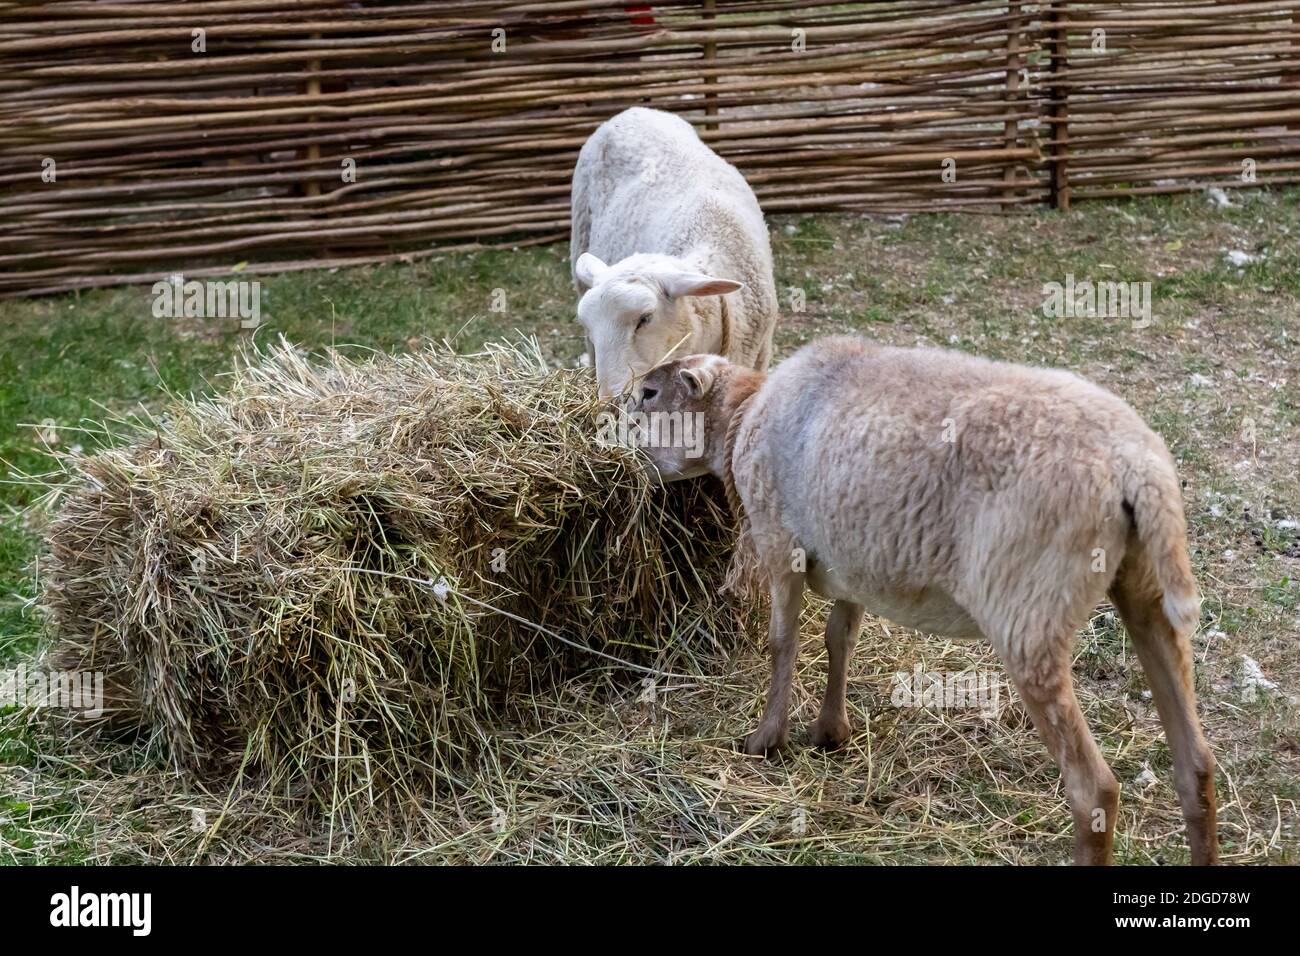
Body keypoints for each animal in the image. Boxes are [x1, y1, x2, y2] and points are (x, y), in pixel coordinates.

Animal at [628, 337, 1218, 865]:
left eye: (649, 393)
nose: (626, 456)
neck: (745, 418)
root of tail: (1135, 466)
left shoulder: (779, 542)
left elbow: (783, 643)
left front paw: (767, 740)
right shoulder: (853, 564)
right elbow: (839, 639)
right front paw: (830, 731)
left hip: (1029, 613)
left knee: (1093, 790)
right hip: (1147, 592)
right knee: (1196, 765)